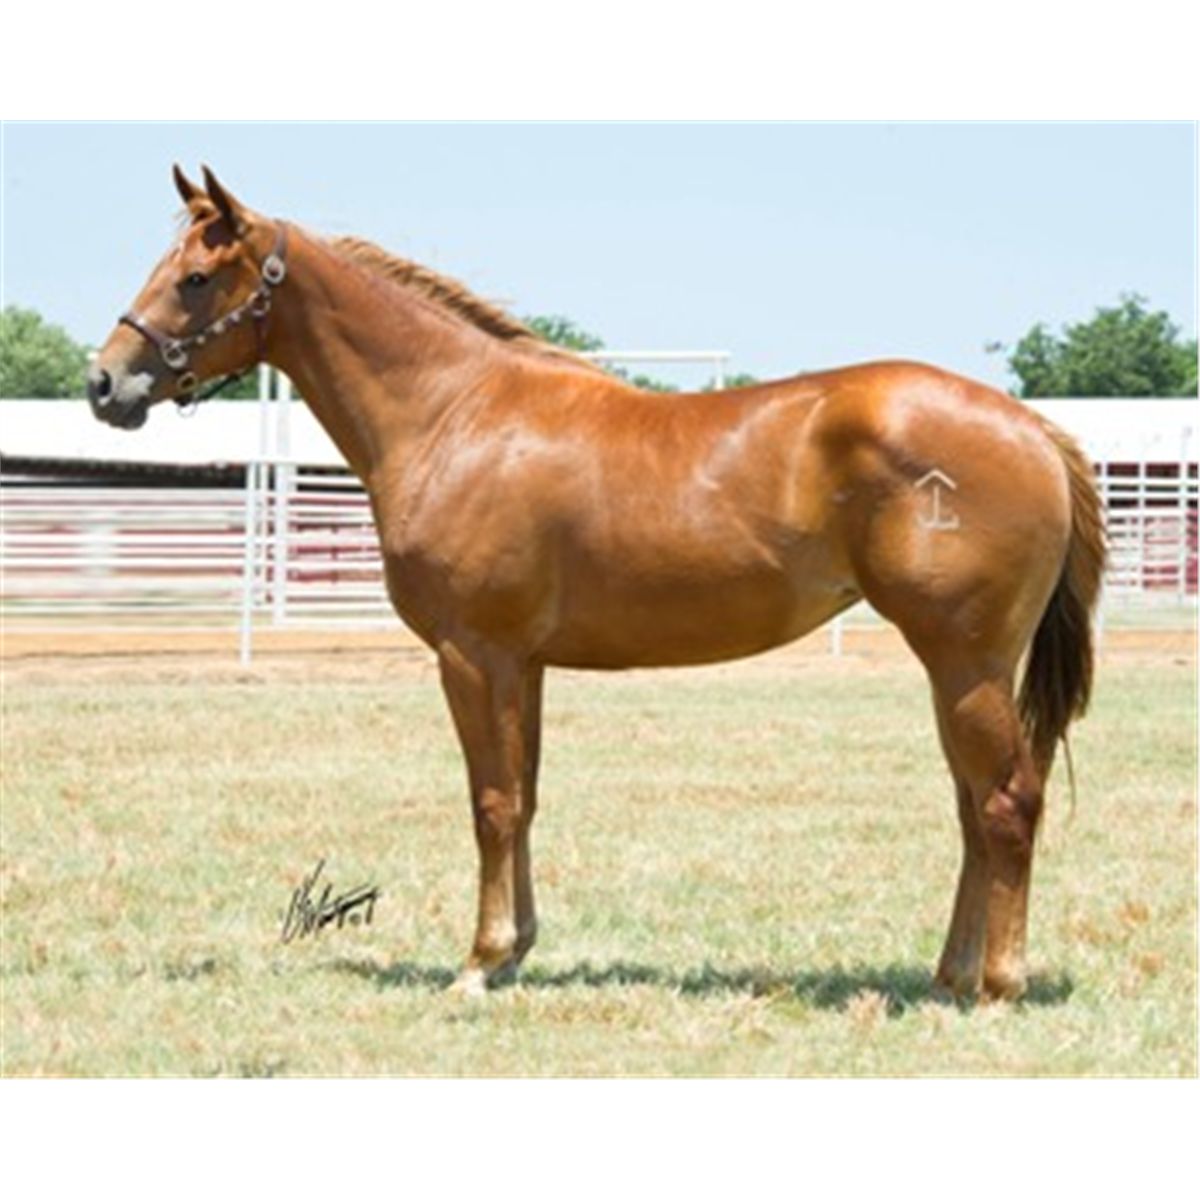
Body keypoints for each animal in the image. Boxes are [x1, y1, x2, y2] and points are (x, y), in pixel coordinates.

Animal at [88, 165, 1106, 1000]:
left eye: (193, 278)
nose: (106, 383)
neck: (455, 413)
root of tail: (1030, 428)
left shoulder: (475, 655)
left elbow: (491, 804)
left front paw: (479, 962)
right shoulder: (526, 664)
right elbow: (525, 796)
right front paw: (517, 950)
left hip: (965, 660)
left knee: (1007, 802)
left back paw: (996, 984)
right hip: (956, 669)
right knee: (974, 806)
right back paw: (947, 975)